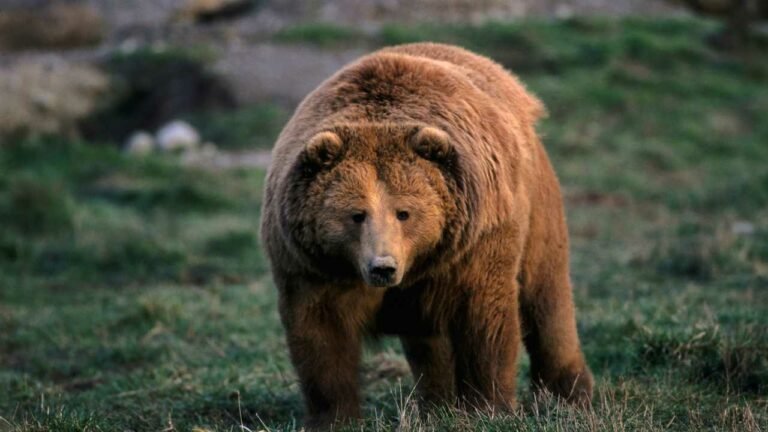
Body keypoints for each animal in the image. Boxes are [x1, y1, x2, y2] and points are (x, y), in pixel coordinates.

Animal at [260, 42, 593, 430]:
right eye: (356, 214)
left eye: (404, 212)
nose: (383, 267)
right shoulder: (312, 266)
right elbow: (321, 339)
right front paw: (334, 417)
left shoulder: (475, 246)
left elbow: (486, 322)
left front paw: (489, 407)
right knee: (430, 343)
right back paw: (436, 404)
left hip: (536, 201)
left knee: (547, 297)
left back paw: (570, 394)